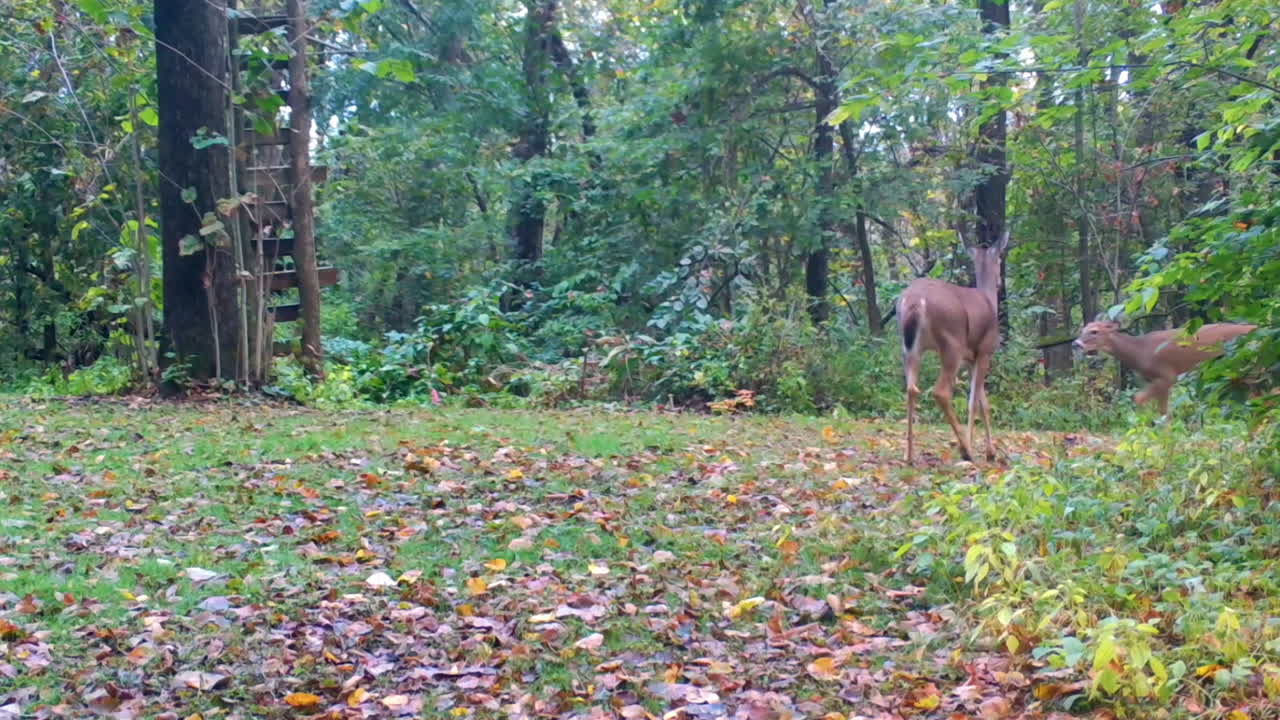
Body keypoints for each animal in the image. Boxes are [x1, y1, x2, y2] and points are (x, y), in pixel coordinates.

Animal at [898, 230, 1008, 464]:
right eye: (1000, 259)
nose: (1000, 281)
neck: (988, 301)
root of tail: (915, 301)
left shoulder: (970, 359)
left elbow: (982, 401)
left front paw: (990, 451)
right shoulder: (985, 351)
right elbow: (975, 401)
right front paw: (984, 450)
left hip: (909, 347)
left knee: (911, 388)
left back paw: (909, 455)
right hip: (951, 343)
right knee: (940, 392)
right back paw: (965, 450)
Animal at [1071, 317, 1257, 416]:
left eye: (1094, 331)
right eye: (1083, 329)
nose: (1075, 344)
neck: (1139, 352)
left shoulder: (1167, 375)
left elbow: (1140, 399)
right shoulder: (1159, 380)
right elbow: (1163, 411)